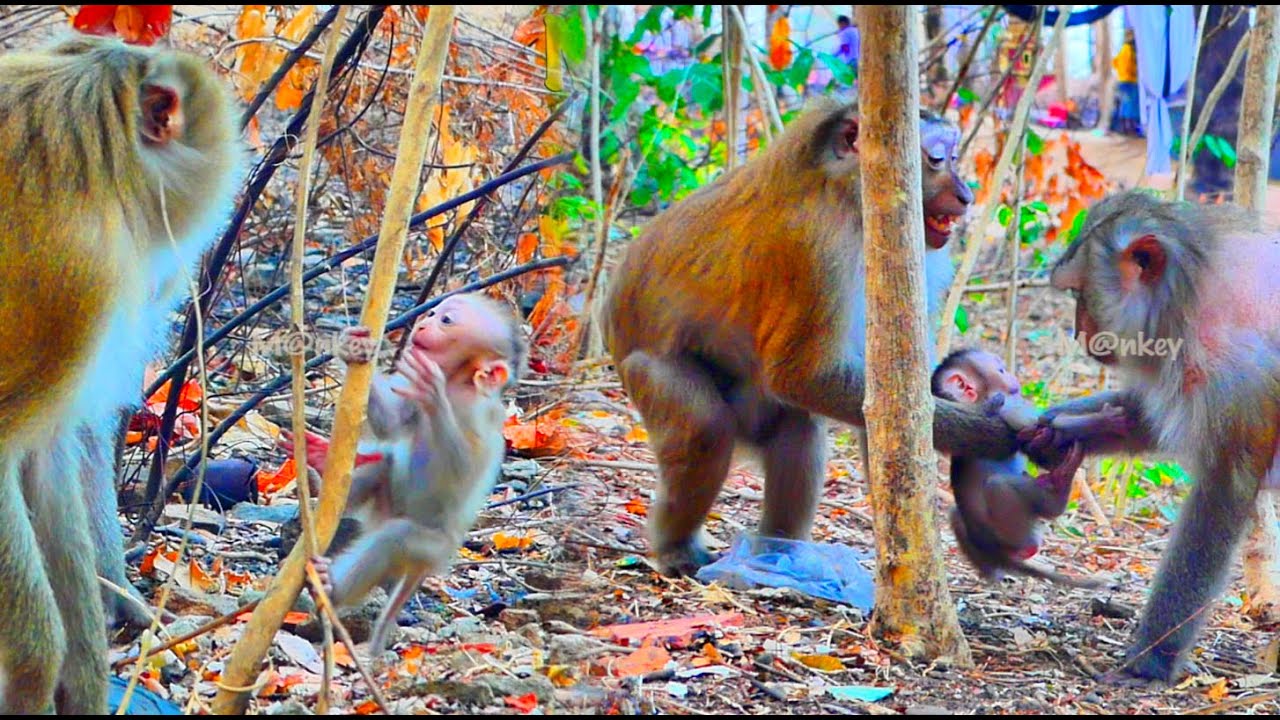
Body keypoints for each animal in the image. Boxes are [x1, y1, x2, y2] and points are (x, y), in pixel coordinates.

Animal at [297, 294, 526, 656]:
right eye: (432, 312)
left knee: (394, 538)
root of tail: (432, 565)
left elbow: (463, 467)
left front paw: (434, 395)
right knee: (384, 466)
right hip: (388, 510)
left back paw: (332, 588)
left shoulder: (479, 412)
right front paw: (353, 346)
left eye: (446, 320)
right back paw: (322, 475)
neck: (457, 381)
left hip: (431, 547)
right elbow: (392, 426)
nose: (422, 323)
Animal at [600, 98, 1038, 578]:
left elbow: (886, 396)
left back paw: (781, 551)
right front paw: (991, 434)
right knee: (706, 429)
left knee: (797, 429)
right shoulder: (813, 250)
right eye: (938, 159)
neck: (847, 200)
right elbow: (802, 377)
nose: (964, 195)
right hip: (645, 373)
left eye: (953, 157)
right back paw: (677, 548)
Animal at [932, 348, 1124, 589]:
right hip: (1014, 534)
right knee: (999, 486)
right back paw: (1058, 493)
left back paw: (992, 574)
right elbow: (1044, 428)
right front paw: (1107, 419)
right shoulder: (1008, 404)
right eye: (1001, 370)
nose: (1013, 378)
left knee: (955, 515)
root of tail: (996, 551)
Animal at [1022, 190, 1280, 682]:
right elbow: (1146, 416)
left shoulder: (1238, 373)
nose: (1078, 330)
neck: (1190, 299)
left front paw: (1152, 657)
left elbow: (1222, 492)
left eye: (1080, 292)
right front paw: (1054, 434)